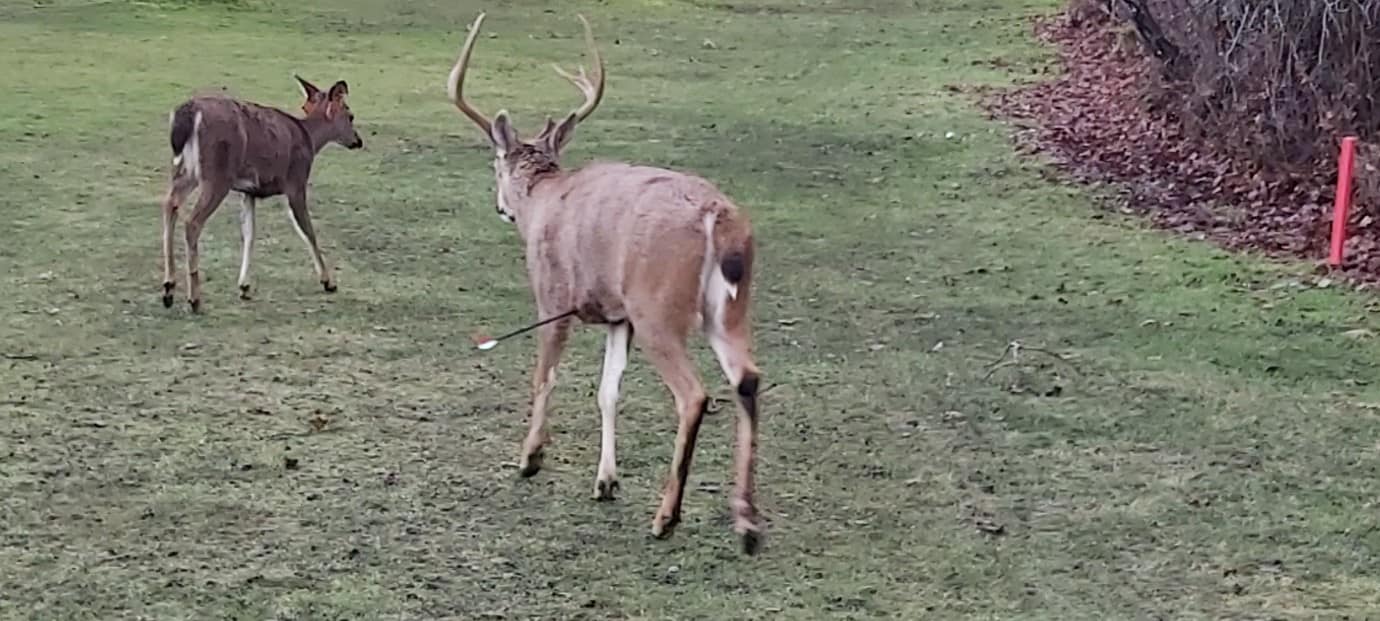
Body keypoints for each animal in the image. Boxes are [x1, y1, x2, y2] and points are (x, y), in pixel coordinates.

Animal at [159, 76, 363, 312]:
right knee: (192, 222)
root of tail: (189, 114)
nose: (358, 141)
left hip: (184, 170)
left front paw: (244, 286)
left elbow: (249, 233)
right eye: (350, 115)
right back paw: (194, 299)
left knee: (170, 204)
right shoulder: (296, 182)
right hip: (217, 174)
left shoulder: (249, 191)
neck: (311, 139)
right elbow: (308, 231)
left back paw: (168, 289)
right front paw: (328, 281)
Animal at [446, 13, 765, 555]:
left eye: (494, 163)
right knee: (747, 378)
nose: (500, 207)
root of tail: (717, 217)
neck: (543, 201)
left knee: (694, 395)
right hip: (728, 308)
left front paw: (530, 458)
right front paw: (605, 481)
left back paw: (666, 517)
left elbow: (546, 375)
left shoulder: (552, 295)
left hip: (657, 305)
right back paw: (747, 525)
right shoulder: (617, 317)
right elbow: (608, 390)